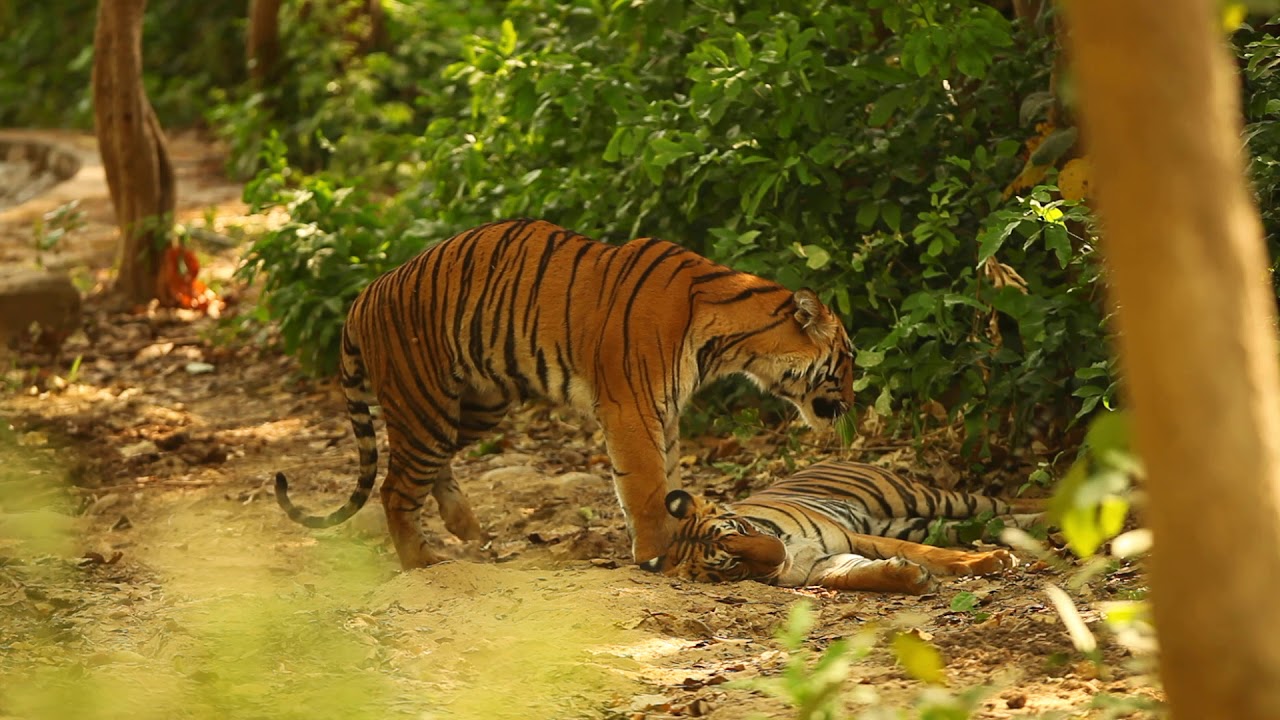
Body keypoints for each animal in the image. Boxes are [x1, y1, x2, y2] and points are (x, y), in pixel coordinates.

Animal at [274, 218, 856, 569]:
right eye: (848, 359)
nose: (854, 403)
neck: (732, 340)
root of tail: (365, 294)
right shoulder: (630, 409)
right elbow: (644, 486)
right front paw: (655, 552)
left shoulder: (664, 414)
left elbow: (668, 479)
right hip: (425, 402)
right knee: (395, 487)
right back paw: (424, 563)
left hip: (475, 405)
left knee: (420, 467)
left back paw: (464, 525)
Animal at [640, 460, 1047, 594]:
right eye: (733, 565)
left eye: (740, 530)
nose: (780, 552)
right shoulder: (822, 566)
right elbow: (860, 575)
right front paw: (911, 580)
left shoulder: (849, 535)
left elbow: (925, 553)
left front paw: (988, 561)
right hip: (914, 521)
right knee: (995, 519)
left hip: (921, 498)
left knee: (1002, 502)